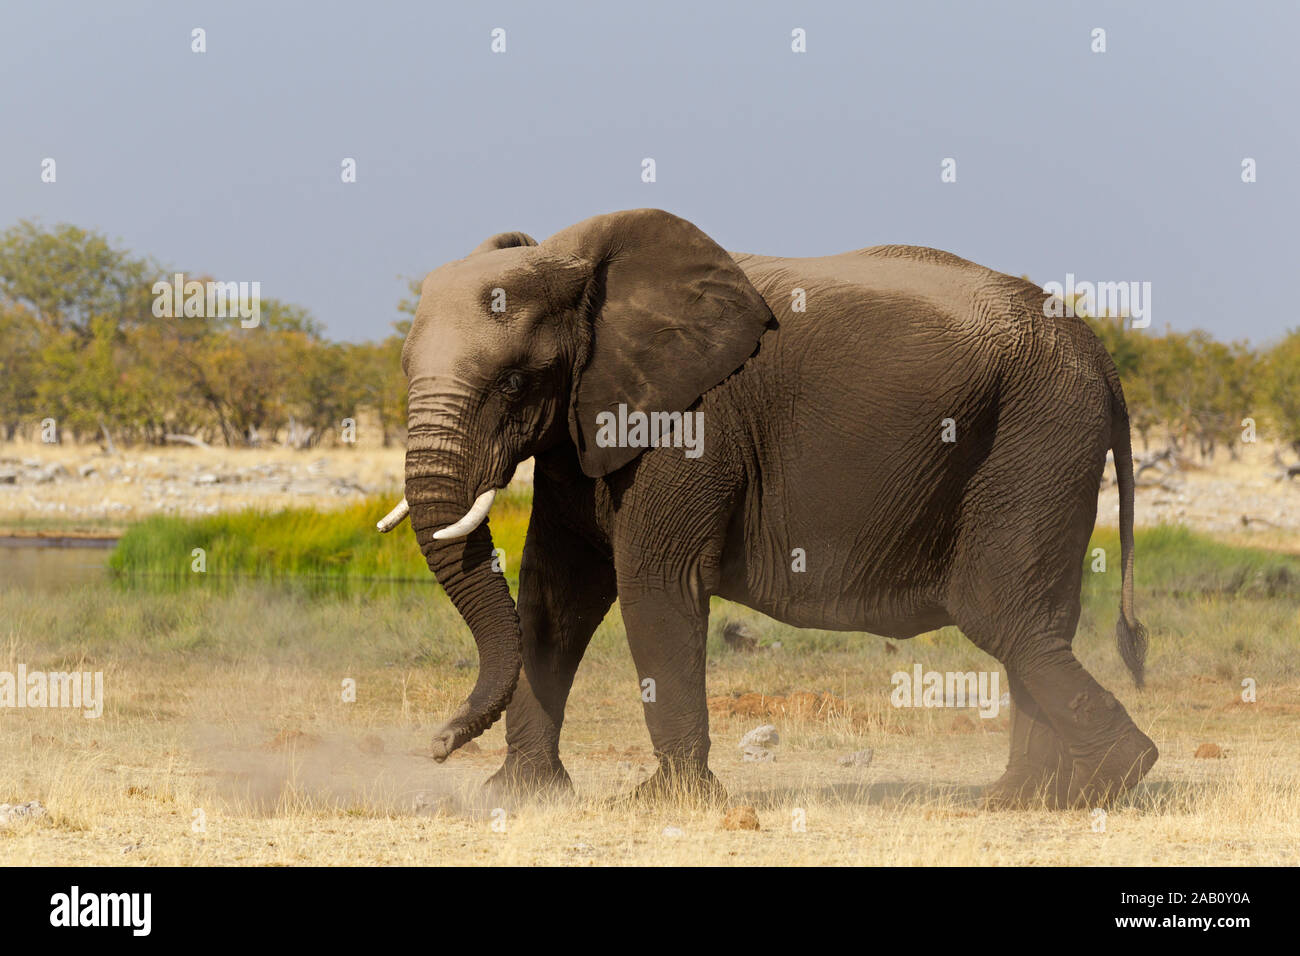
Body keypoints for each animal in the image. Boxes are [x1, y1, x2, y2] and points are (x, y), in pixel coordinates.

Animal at [378, 208, 1158, 809]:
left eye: (513, 381)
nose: (438, 745)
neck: (575, 262)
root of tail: (1103, 356)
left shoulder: (690, 424)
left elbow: (654, 585)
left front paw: (668, 803)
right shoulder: (581, 430)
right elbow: (556, 593)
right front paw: (518, 795)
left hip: (1038, 434)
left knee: (1004, 614)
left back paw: (1105, 783)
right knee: (1034, 621)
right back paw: (1022, 798)